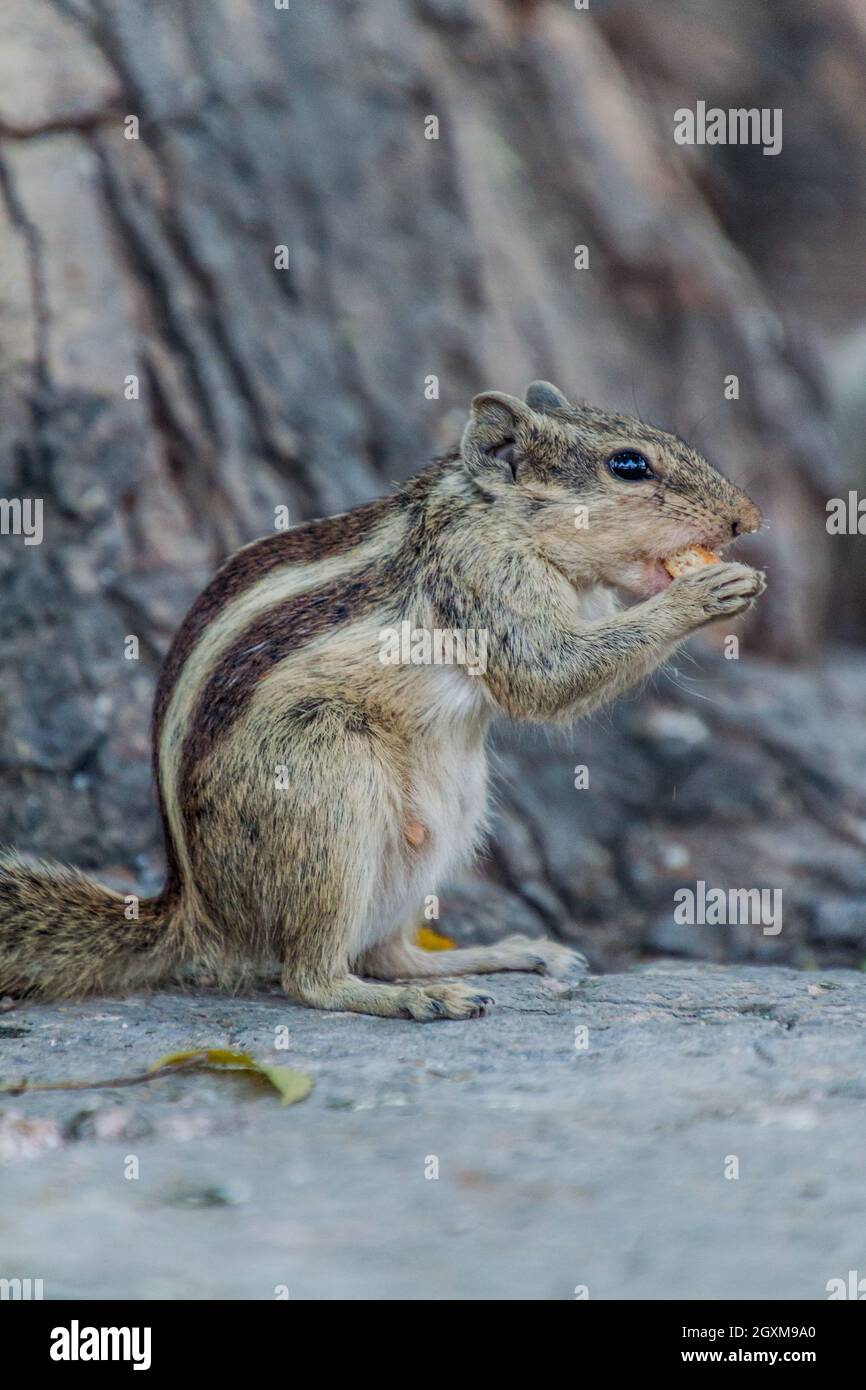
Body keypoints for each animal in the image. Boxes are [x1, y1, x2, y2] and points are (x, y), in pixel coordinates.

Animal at [0, 381, 765, 1019]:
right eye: (628, 466)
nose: (747, 518)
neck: (495, 514)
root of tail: (202, 918)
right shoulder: (482, 575)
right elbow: (547, 676)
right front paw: (703, 594)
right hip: (324, 787)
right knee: (311, 977)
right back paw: (404, 1001)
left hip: (450, 813)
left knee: (388, 952)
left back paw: (500, 956)